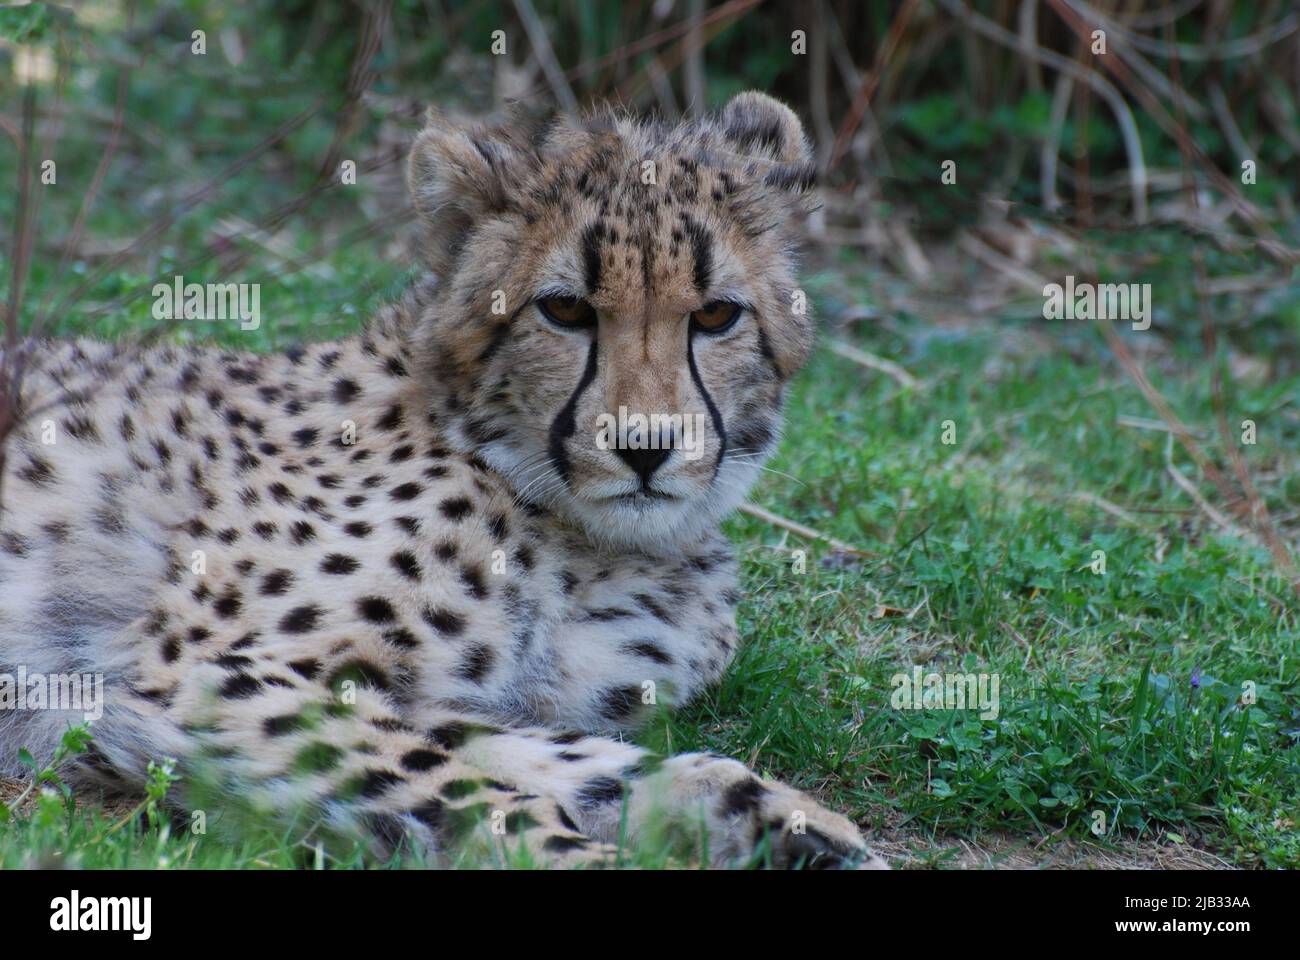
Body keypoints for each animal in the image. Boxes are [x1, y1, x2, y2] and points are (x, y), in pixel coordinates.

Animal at [0, 91, 885, 869]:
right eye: (565, 311)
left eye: (715, 316)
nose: (645, 446)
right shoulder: (209, 673)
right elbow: (463, 789)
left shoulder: (437, 700)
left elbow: (574, 758)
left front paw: (780, 819)